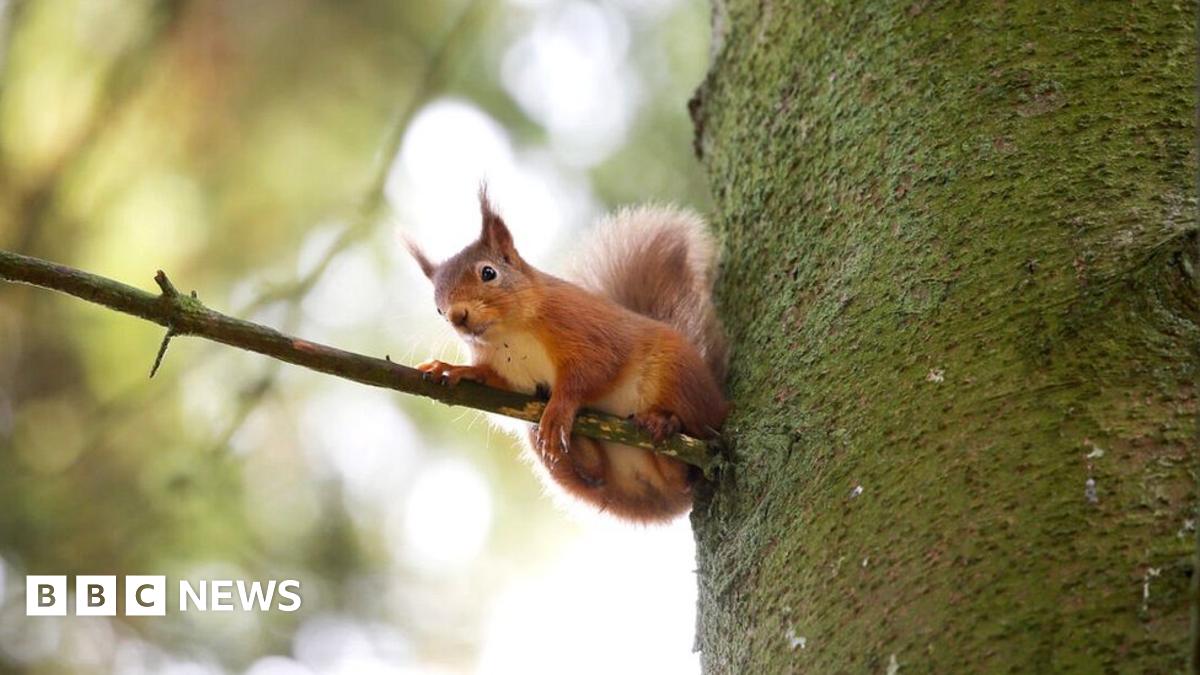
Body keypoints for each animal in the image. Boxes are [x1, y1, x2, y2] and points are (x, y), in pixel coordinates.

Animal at [406, 188, 728, 523]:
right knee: (601, 474)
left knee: (693, 457)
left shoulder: (583, 329)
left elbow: (592, 371)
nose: (457, 316)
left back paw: (663, 424)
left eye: (488, 272)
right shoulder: (510, 376)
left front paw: (560, 408)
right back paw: (581, 447)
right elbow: (494, 382)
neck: (510, 334)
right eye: (438, 308)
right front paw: (455, 369)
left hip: (676, 377)